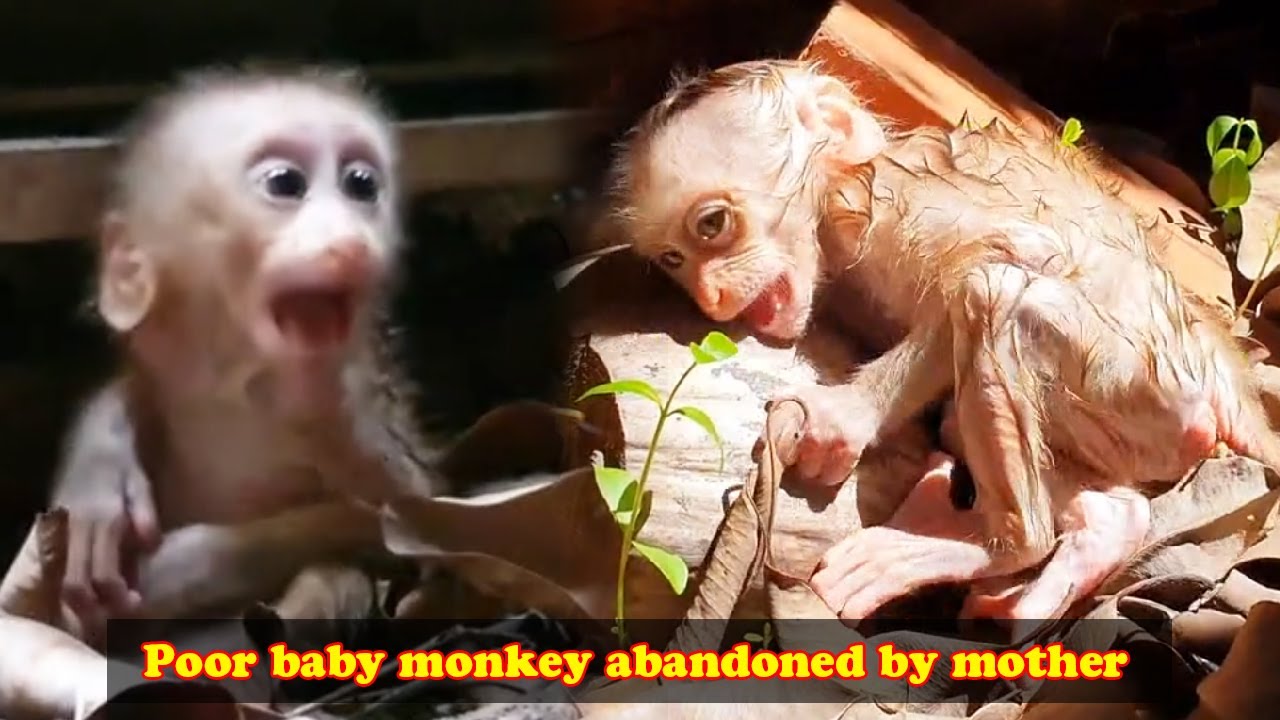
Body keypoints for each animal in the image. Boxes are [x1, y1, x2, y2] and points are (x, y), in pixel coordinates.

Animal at [46, 68, 443, 643]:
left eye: (361, 185)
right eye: (284, 183)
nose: (352, 242)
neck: (237, 393)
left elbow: (416, 525)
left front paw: (182, 568)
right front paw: (99, 476)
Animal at [605, 59, 1280, 625]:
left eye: (712, 224)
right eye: (673, 260)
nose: (710, 294)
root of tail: (1230, 382)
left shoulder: (888, 204)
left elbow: (1012, 258)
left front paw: (847, 416)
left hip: (1153, 392)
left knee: (991, 288)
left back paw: (1007, 545)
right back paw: (1094, 533)